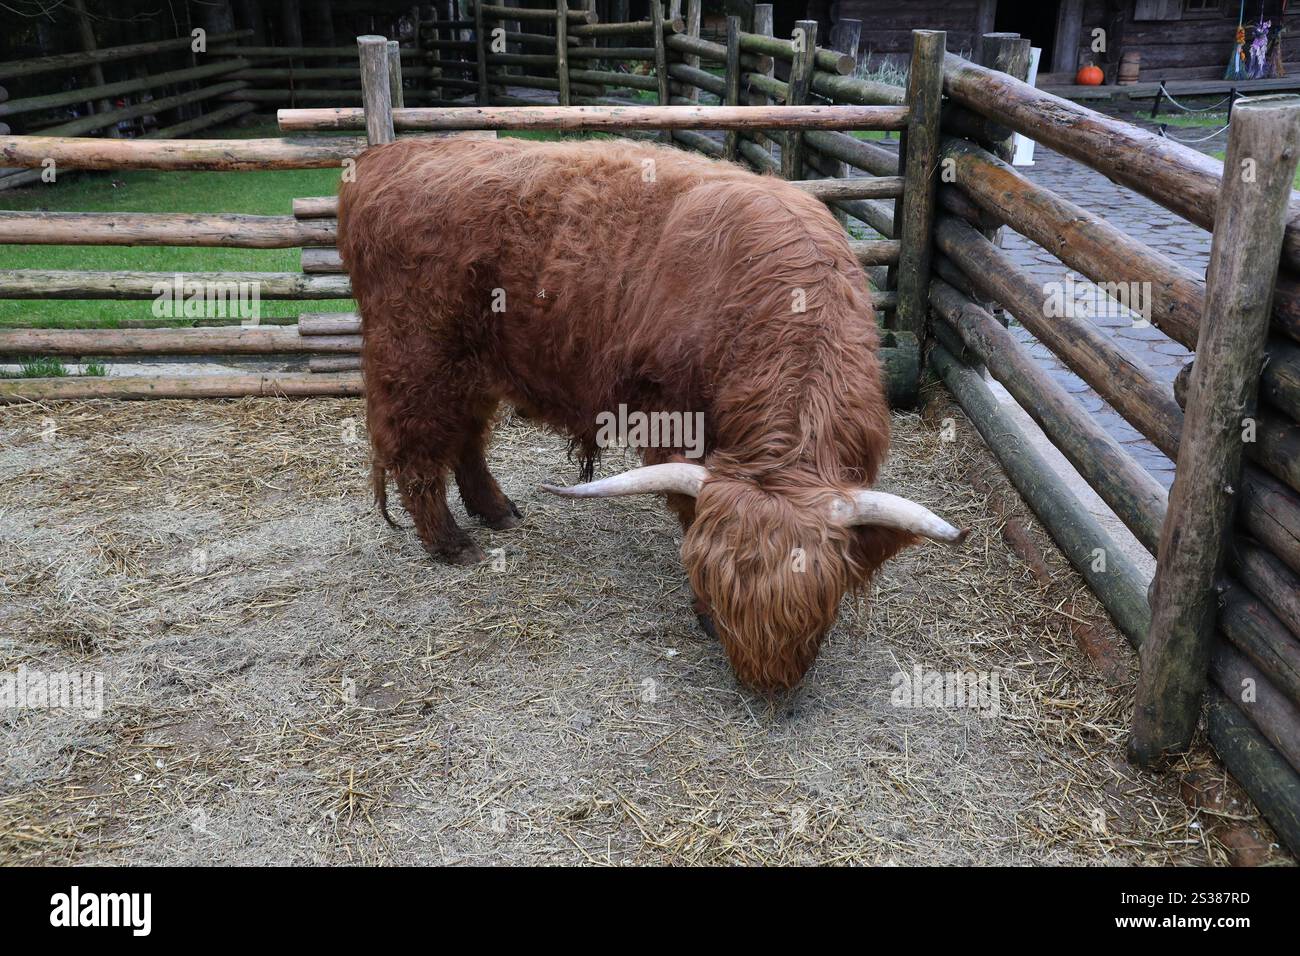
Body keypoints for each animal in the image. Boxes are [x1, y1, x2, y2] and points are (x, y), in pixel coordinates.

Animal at [337, 135, 965, 692]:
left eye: (818, 603)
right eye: (725, 593)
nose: (767, 680)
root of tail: (382, 156)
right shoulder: (672, 415)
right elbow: (688, 509)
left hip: (475, 363)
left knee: (467, 438)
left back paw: (497, 511)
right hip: (417, 358)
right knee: (416, 450)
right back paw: (449, 542)